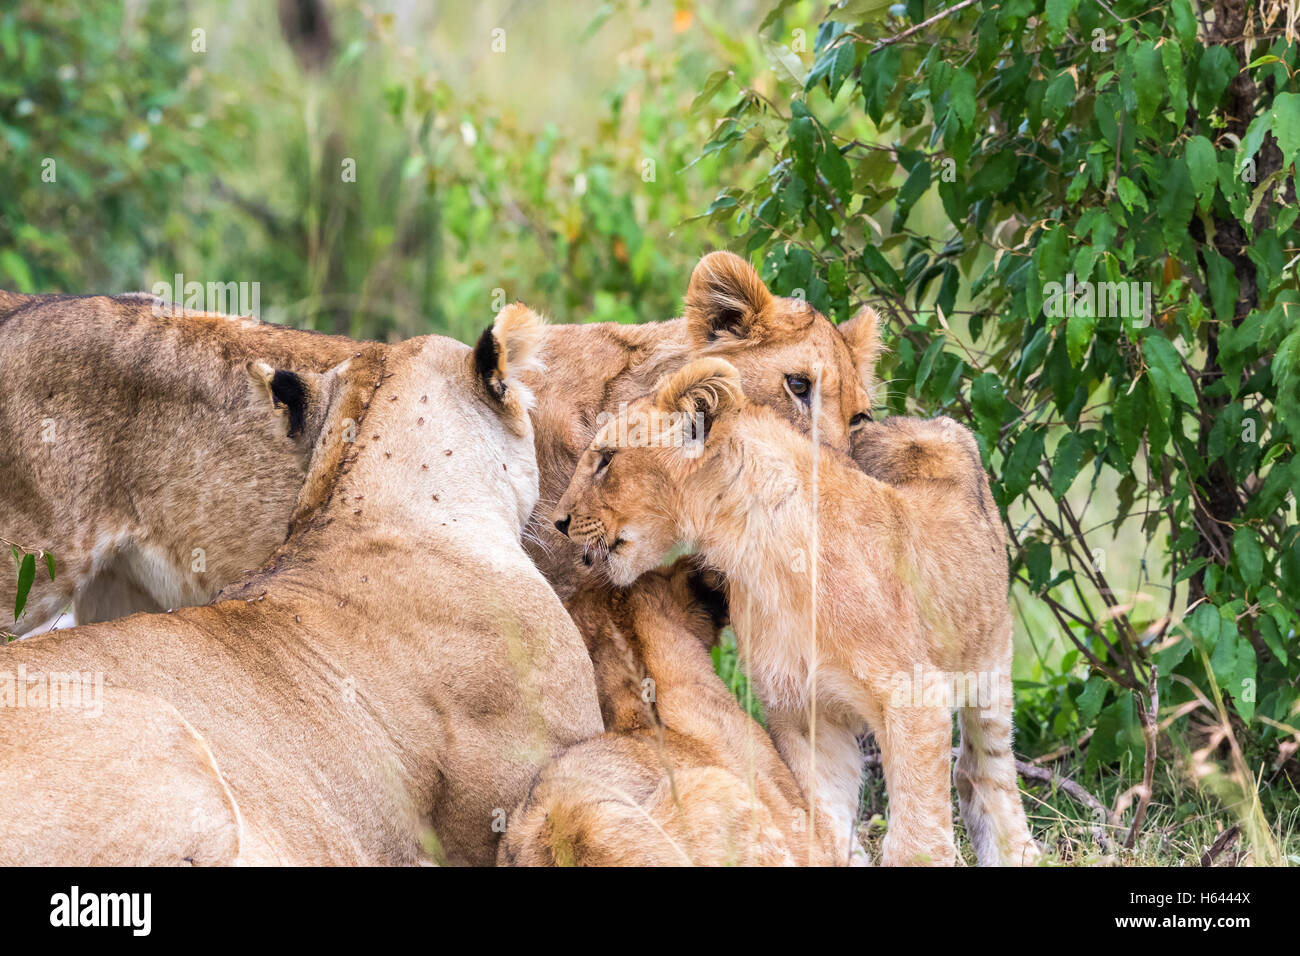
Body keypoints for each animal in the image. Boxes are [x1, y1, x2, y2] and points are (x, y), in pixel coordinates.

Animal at [552, 358, 1041, 867]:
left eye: (606, 458)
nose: (559, 521)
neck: (753, 550)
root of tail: (923, 422)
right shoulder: (802, 709)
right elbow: (825, 821)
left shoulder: (914, 696)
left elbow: (916, 834)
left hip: (990, 660)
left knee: (983, 768)